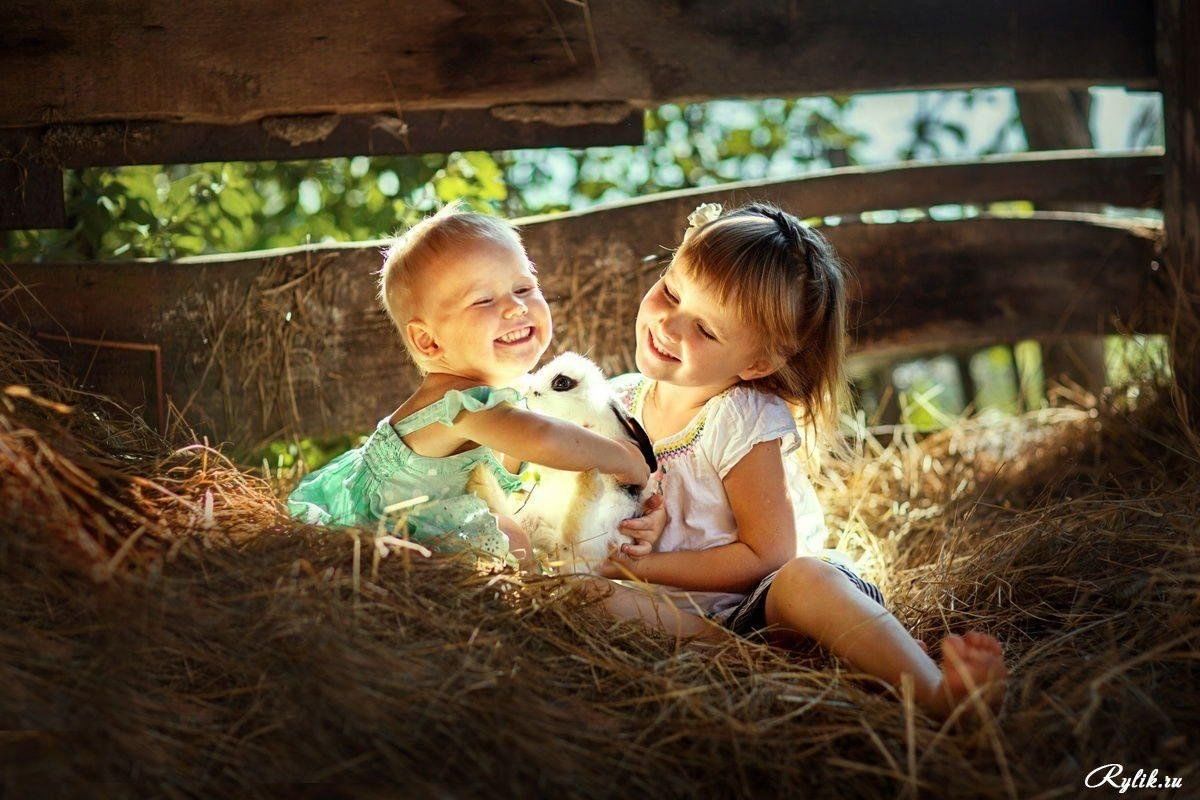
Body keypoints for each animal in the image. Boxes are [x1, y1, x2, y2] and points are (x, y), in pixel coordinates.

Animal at [465, 352, 657, 573]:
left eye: (562, 382)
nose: (529, 390)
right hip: (533, 513)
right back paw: (481, 478)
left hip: (608, 519)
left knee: (570, 542)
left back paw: (589, 480)